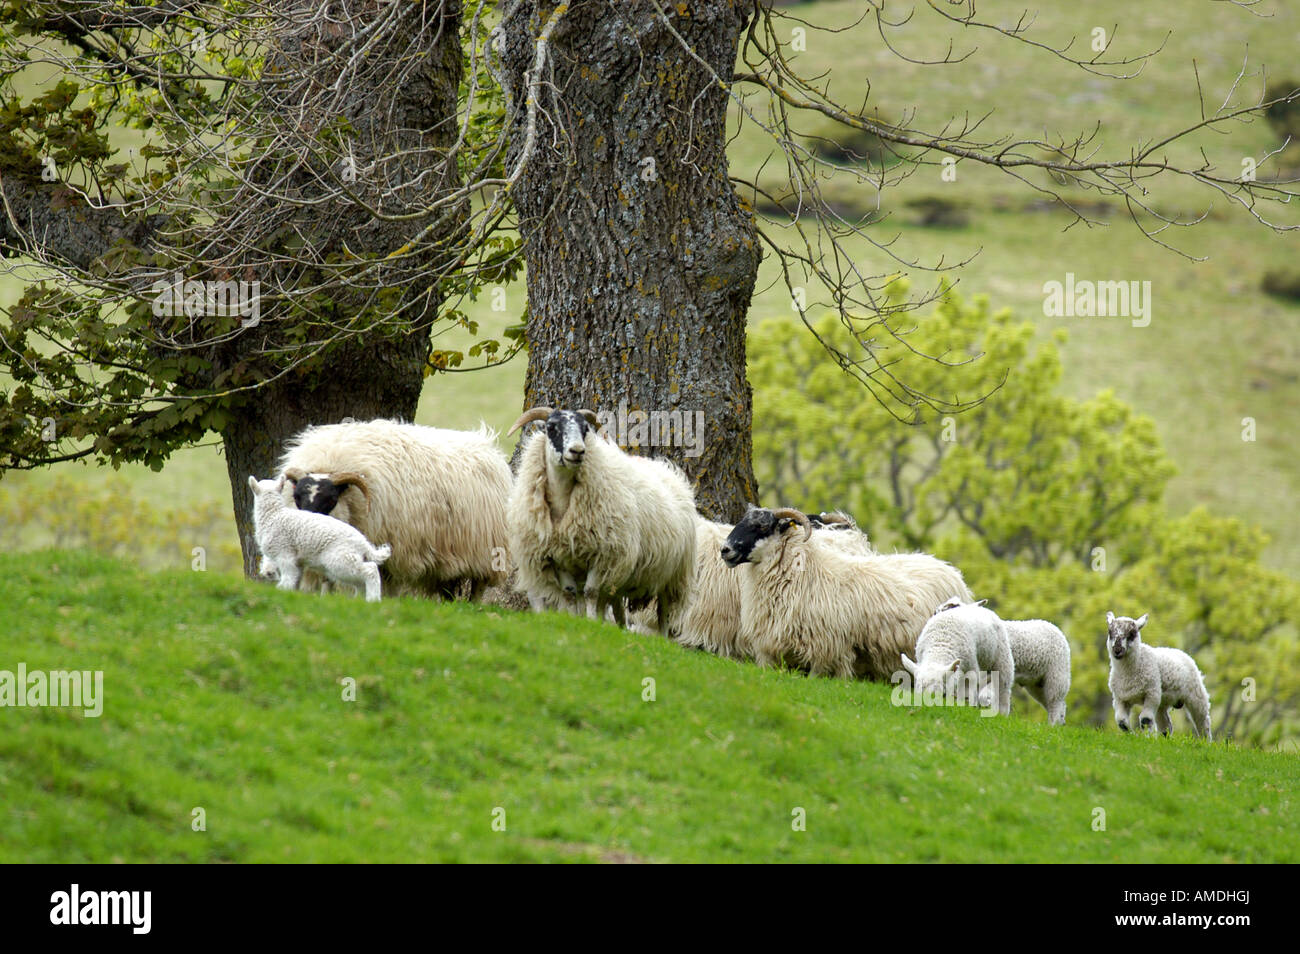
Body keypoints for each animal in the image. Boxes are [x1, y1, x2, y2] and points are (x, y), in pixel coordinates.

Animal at [248, 475, 392, 601]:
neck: (273, 514)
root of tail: (364, 543)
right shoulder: (286, 554)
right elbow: (277, 567)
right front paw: (269, 572)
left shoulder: (285, 552)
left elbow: (289, 577)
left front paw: (283, 590)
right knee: (360, 581)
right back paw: (359, 600)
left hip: (340, 559)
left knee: (371, 570)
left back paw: (373, 600)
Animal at [278, 419, 512, 600]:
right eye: (297, 497)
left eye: (331, 499)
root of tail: (487, 445)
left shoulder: (394, 550)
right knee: (448, 588)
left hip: (485, 550)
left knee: (478, 586)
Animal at [507, 406, 697, 631]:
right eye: (551, 427)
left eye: (585, 429)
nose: (577, 451)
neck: (563, 503)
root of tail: (667, 469)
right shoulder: (558, 556)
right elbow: (570, 592)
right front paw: (575, 619)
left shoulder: (604, 554)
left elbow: (590, 592)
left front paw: (590, 622)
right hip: (622, 574)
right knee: (616, 605)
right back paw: (621, 629)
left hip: (672, 574)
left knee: (663, 612)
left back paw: (663, 635)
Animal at [720, 506, 974, 680]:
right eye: (742, 521)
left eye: (762, 526)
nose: (725, 549)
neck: (804, 572)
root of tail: (950, 570)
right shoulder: (770, 649)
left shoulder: (826, 648)